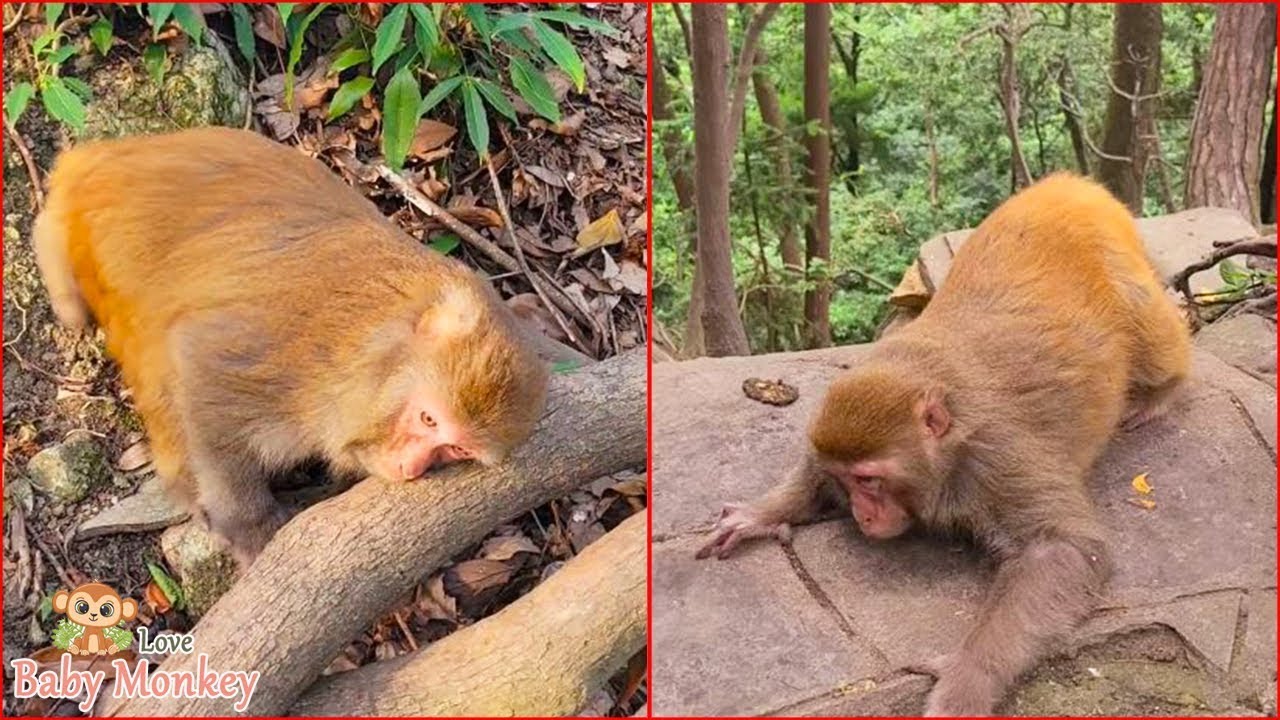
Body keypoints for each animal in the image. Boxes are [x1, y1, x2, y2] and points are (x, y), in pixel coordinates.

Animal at [34, 127, 550, 566]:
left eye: (455, 449)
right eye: (428, 419)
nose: (409, 466)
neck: (369, 339)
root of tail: (97, 160)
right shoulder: (293, 355)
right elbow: (200, 366)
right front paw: (248, 524)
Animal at [697, 173, 1191, 716]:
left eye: (869, 480)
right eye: (847, 480)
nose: (862, 516)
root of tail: (1066, 184)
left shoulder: (999, 456)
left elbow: (1063, 549)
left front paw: (964, 679)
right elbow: (812, 466)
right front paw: (761, 513)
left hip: (1123, 264)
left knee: (1150, 323)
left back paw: (1162, 391)